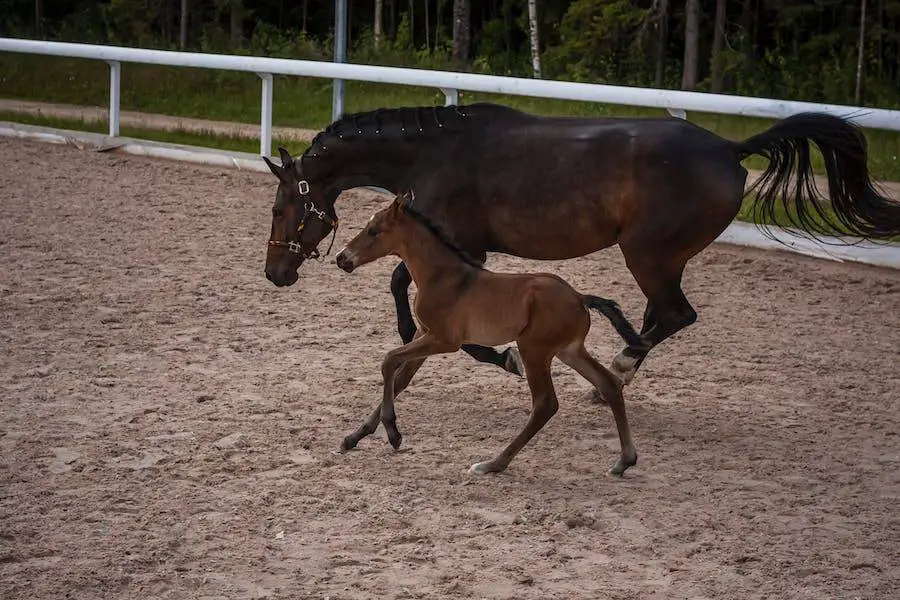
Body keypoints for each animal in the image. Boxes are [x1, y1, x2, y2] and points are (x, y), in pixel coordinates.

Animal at [263, 103, 900, 387]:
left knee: (675, 313)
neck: (434, 154)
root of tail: (727, 147)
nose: (274, 273)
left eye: (279, 207)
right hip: (662, 259)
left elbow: (402, 284)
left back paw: (620, 365)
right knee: (661, 313)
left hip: (647, 253)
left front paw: (498, 356)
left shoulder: (462, 246)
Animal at [334, 192, 647, 475]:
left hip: (534, 350)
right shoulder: (425, 335)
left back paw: (493, 464)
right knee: (609, 385)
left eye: (374, 231)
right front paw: (353, 437)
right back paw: (624, 461)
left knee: (545, 404)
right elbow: (400, 379)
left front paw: (393, 433)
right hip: (569, 351)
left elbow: (388, 360)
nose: (341, 258)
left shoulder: (444, 340)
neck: (443, 276)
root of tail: (580, 298)